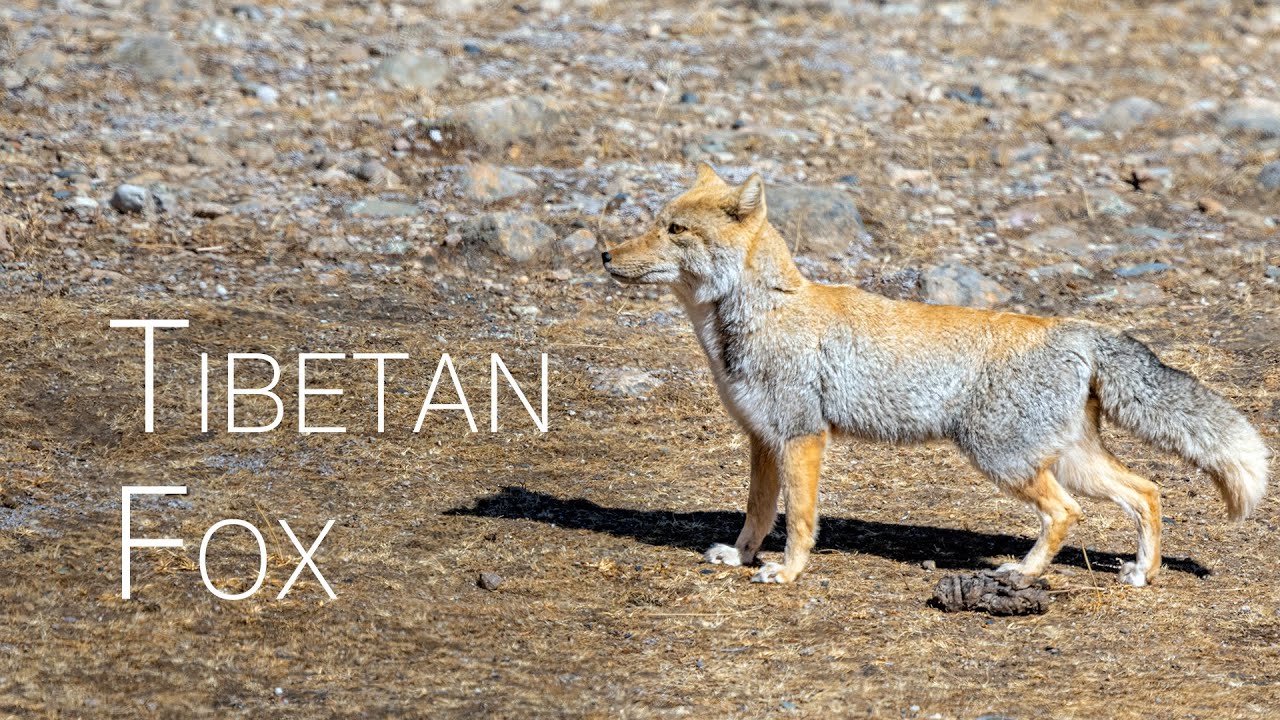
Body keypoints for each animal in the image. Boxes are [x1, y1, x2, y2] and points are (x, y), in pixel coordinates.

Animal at [601, 162, 1270, 587]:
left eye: (674, 230)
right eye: (656, 222)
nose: (605, 254)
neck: (759, 317)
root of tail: (1072, 326)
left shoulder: (802, 437)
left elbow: (799, 522)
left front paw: (787, 572)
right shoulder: (764, 439)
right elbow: (758, 515)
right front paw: (742, 558)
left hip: (1004, 458)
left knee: (1067, 514)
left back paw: (1024, 572)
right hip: (1065, 459)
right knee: (1148, 491)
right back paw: (1141, 573)